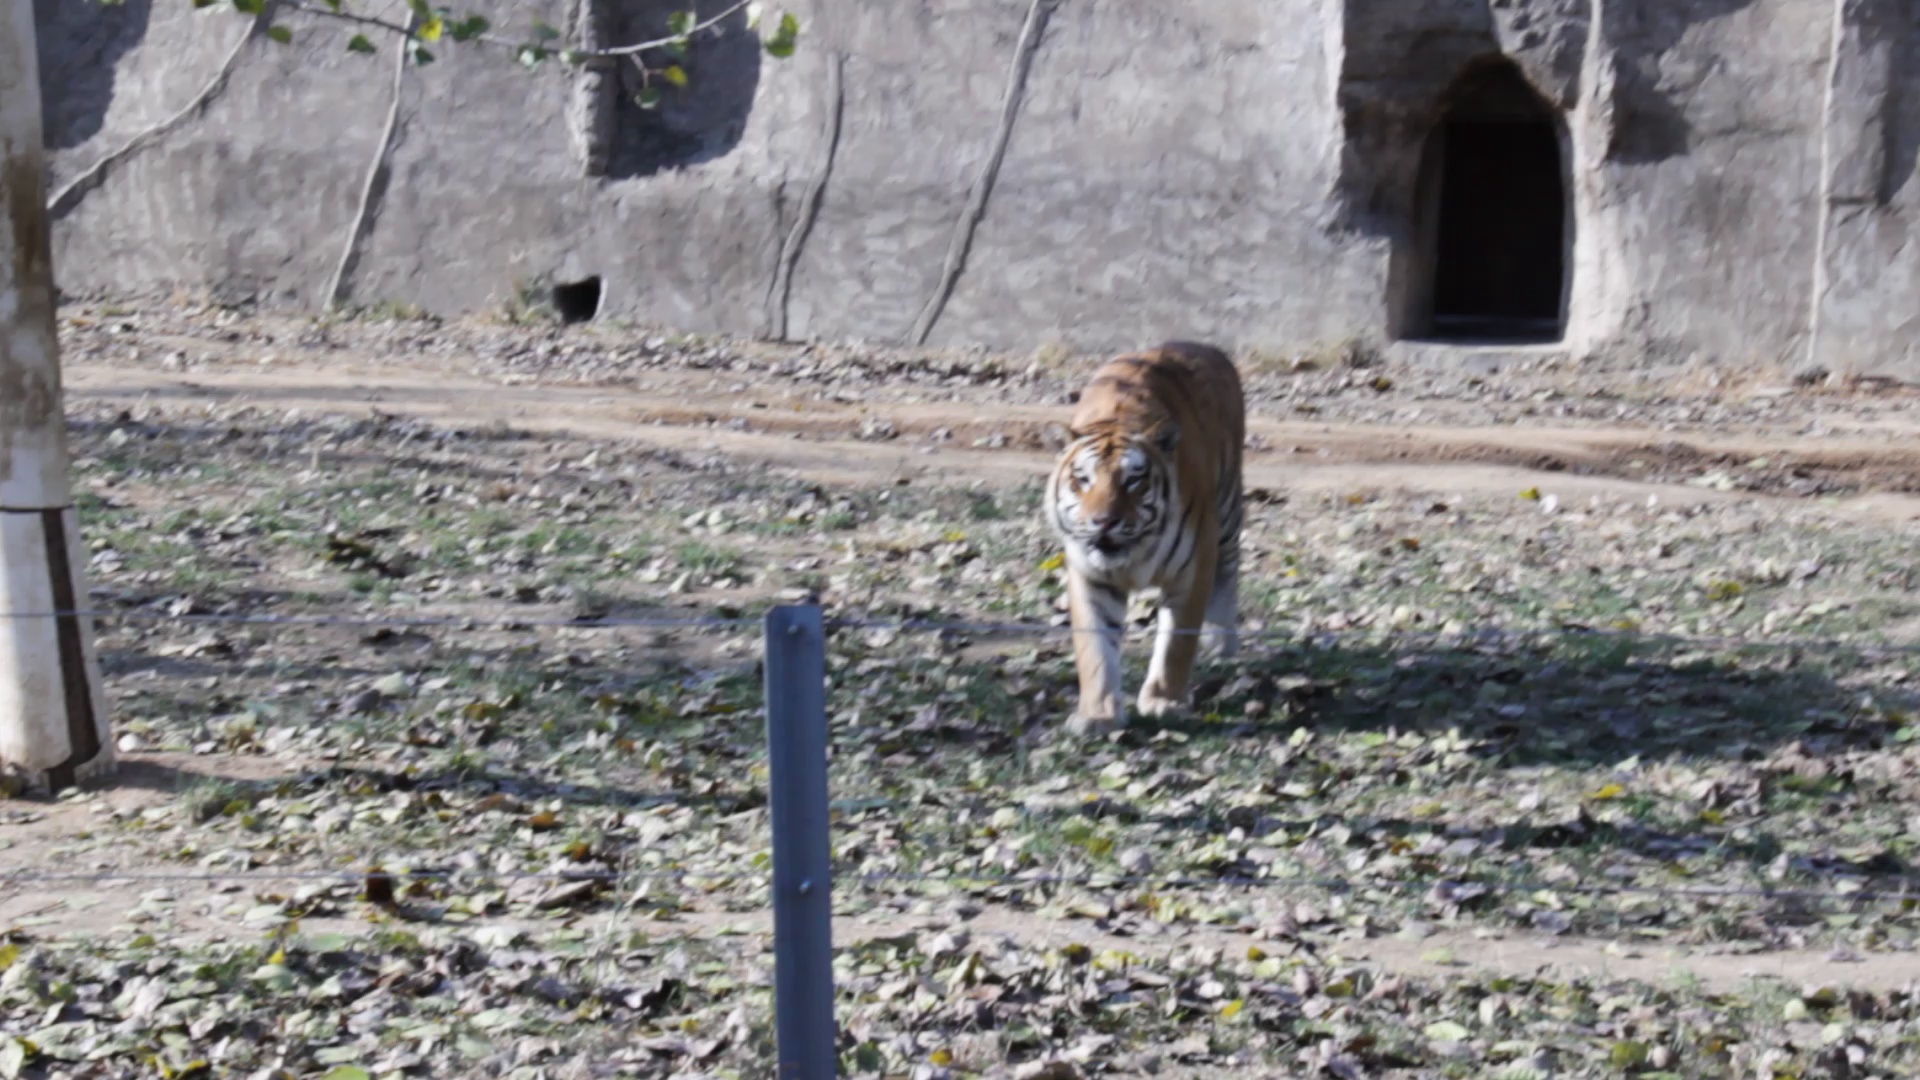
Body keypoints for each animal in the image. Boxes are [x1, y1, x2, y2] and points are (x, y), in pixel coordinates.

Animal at [1044, 341, 1246, 736]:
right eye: (1083, 479)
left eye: (1133, 480)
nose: (1103, 521)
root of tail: (1206, 346)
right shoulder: (1089, 577)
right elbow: (1095, 648)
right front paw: (1098, 714)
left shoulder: (1192, 573)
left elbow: (1175, 645)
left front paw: (1163, 703)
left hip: (1228, 512)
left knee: (1229, 572)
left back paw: (1220, 646)